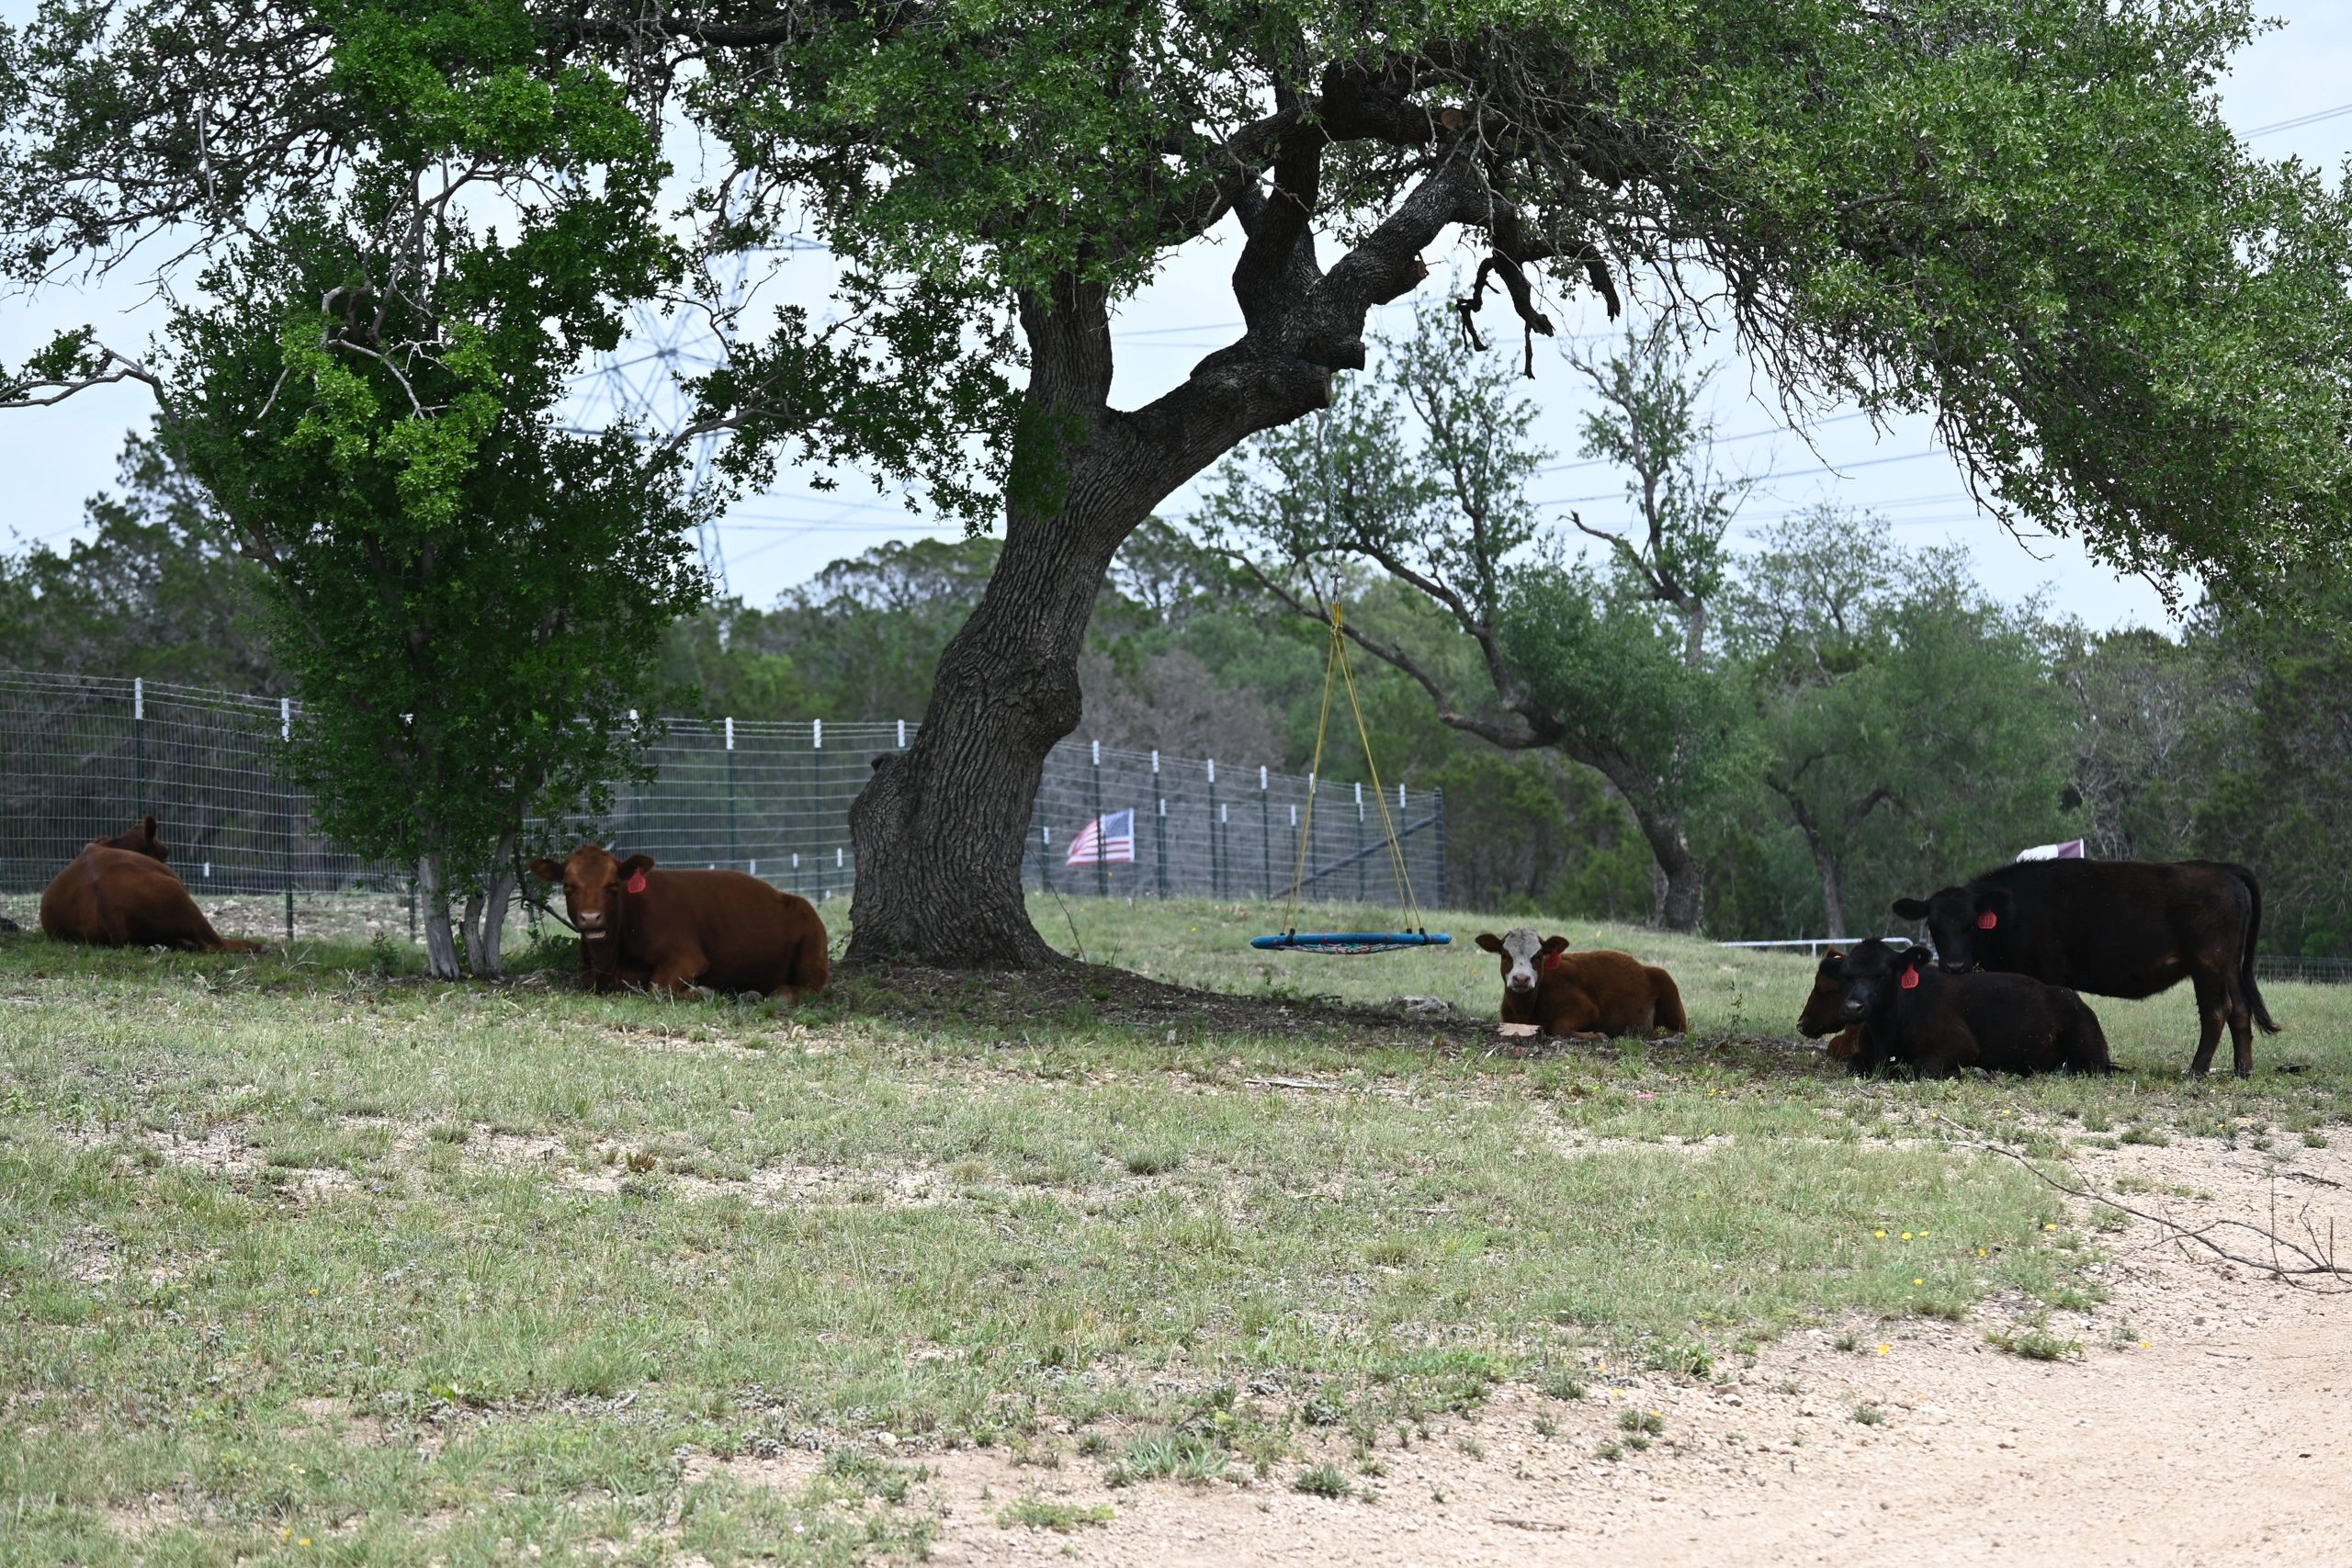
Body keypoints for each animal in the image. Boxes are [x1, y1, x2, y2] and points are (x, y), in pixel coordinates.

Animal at [529, 843, 830, 1000]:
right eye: (568, 886)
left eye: (613, 885)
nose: (591, 917)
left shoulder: (687, 956)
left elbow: (657, 987)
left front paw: (704, 991)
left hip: (812, 955)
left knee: (802, 988)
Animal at [1473, 927, 1687, 1039]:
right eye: (1504, 955)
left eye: (1539, 955)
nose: (1521, 979)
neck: (1525, 1010)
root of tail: (1643, 967)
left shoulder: (1586, 1008)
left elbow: (1559, 1028)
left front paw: (1597, 1035)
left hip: (1669, 991)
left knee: (1681, 1030)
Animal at [1797, 939, 2111, 1079]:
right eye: (1847, 975)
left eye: (1884, 974)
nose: (1854, 1007)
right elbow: (1855, 1064)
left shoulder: (1959, 1043)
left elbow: (1921, 1067)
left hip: (2089, 1052)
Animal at [1892, 858, 2277, 1078]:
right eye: (1934, 925)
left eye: (1972, 924)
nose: (1955, 966)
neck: (2013, 911)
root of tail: (2223, 869)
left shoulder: (2045, 972)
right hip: (2228, 966)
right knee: (2240, 1011)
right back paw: (2242, 1071)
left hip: (2208, 963)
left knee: (2216, 1011)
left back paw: (2196, 1071)